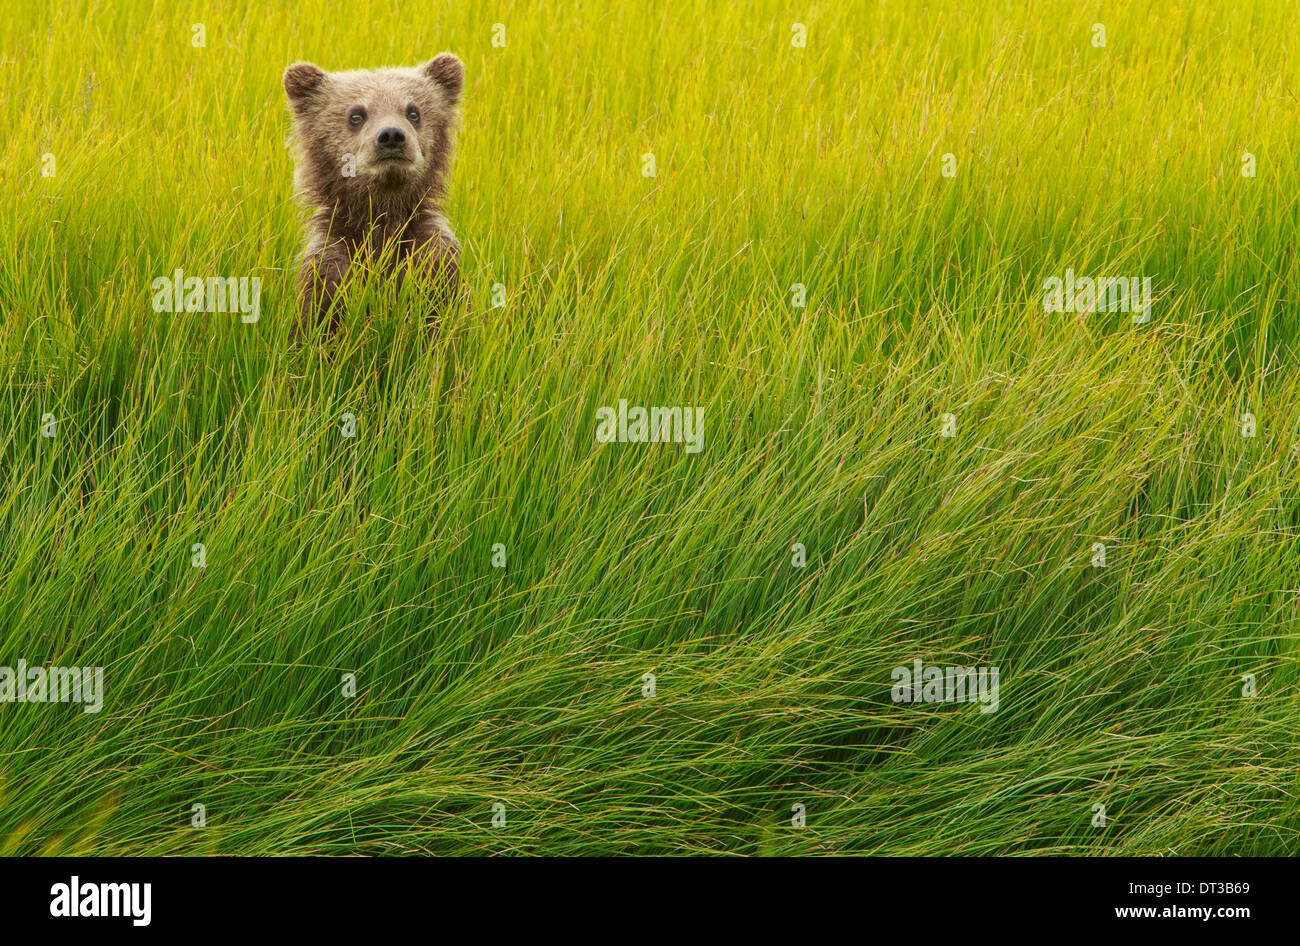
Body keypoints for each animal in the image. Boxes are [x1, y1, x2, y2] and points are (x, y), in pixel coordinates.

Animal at [283, 54, 464, 339]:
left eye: (413, 111)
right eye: (356, 115)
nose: (391, 136)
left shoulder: (433, 260)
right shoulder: (330, 267)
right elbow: (317, 323)